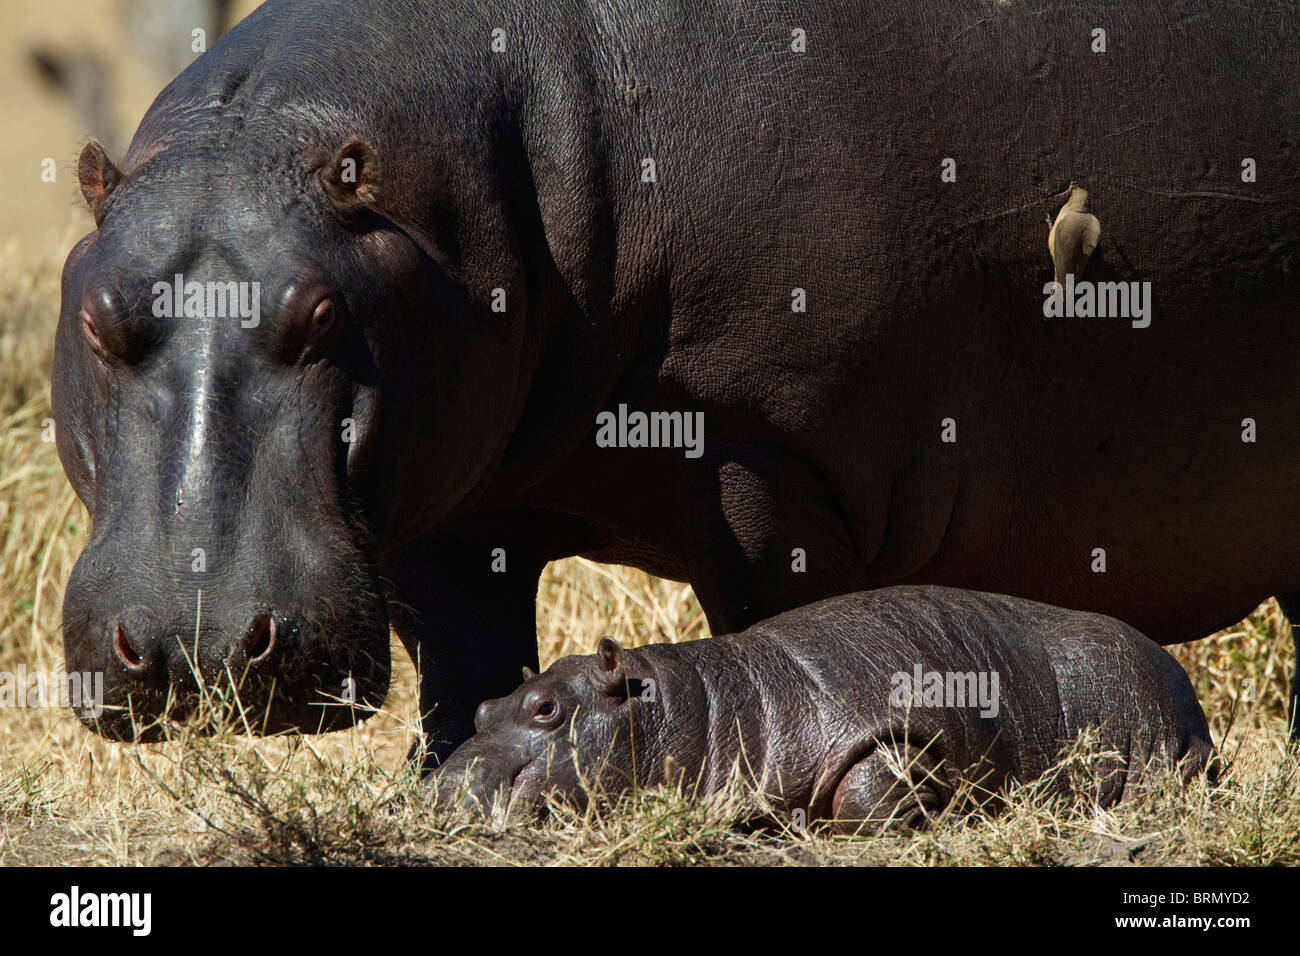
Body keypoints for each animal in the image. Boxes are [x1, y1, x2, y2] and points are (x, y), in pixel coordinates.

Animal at [55, 0, 1300, 763]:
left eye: (322, 314)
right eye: (94, 315)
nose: (199, 643)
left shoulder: (768, 455)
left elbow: (782, 627)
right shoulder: (436, 498)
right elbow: (459, 668)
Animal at [430, 587, 1215, 829]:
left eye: (545, 708)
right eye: (481, 709)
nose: (442, 783)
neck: (703, 700)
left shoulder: (880, 725)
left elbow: (873, 783)